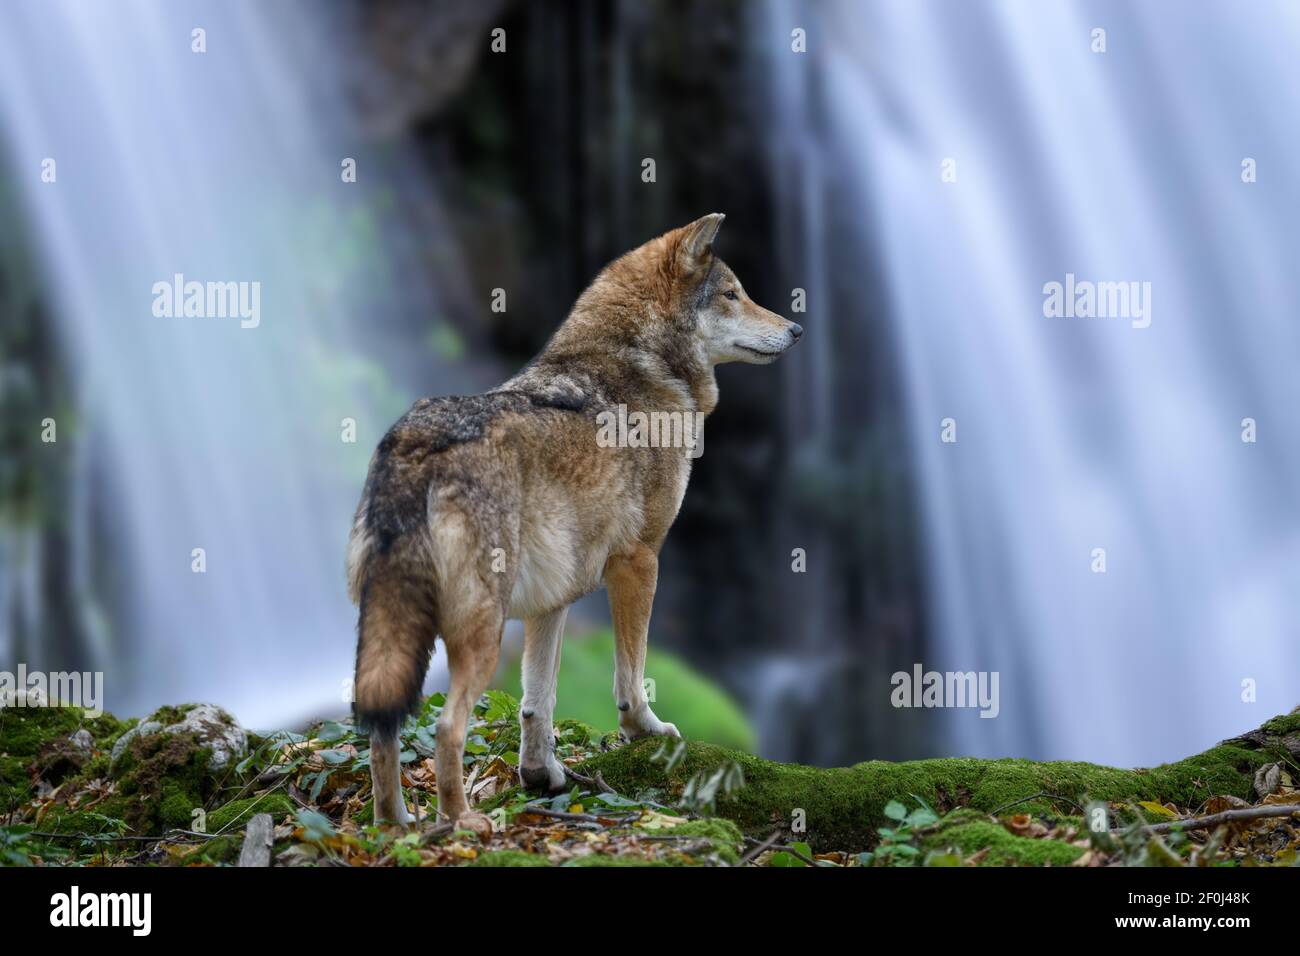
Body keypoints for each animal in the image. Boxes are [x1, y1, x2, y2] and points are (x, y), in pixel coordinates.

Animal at [346, 214, 802, 833]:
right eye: (733, 294)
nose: (797, 328)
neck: (641, 364)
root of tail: (417, 446)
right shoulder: (639, 561)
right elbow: (631, 676)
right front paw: (645, 731)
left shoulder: (552, 599)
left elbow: (537, 702)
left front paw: (541, 775)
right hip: (480, 633)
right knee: (444, 727)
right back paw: (462, 823)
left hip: (399, 631)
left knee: (381, 729)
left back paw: (396, 826)